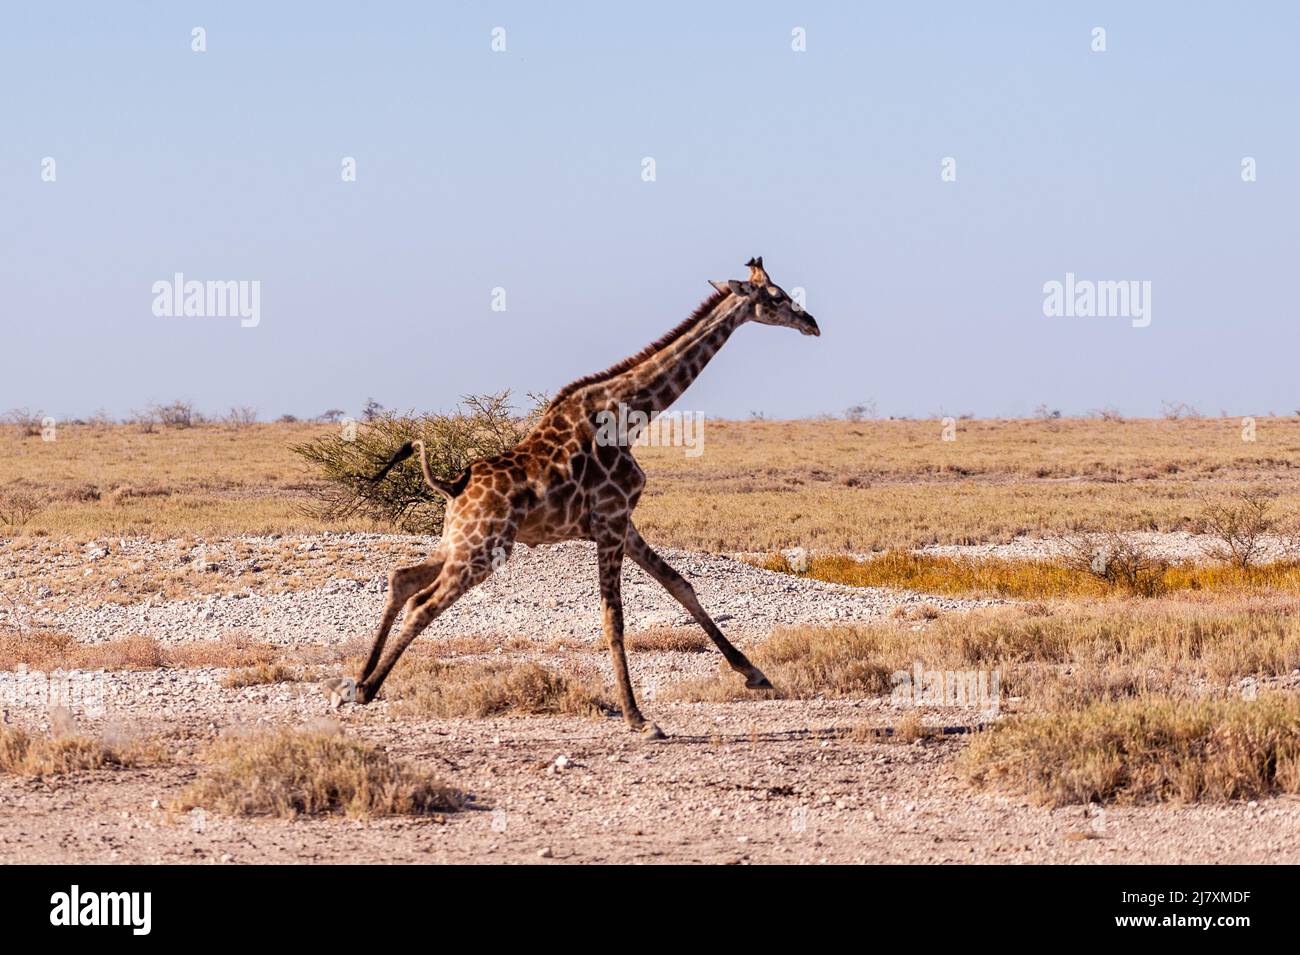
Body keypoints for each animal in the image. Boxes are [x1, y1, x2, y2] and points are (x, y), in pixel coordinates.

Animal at [325, 257, 820, 737]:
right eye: (777, 296)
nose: (812, 322)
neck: (630, 415)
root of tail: (453, 485)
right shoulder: (610, 521)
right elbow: (614, 618)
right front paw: (638, 719)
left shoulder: (622, 523)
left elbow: (681, 585)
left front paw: (754, 673)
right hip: (484, 548)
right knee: (423, 603)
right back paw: (367, 687)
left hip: (461, 540)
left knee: (402, 580)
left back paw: (361, 683)